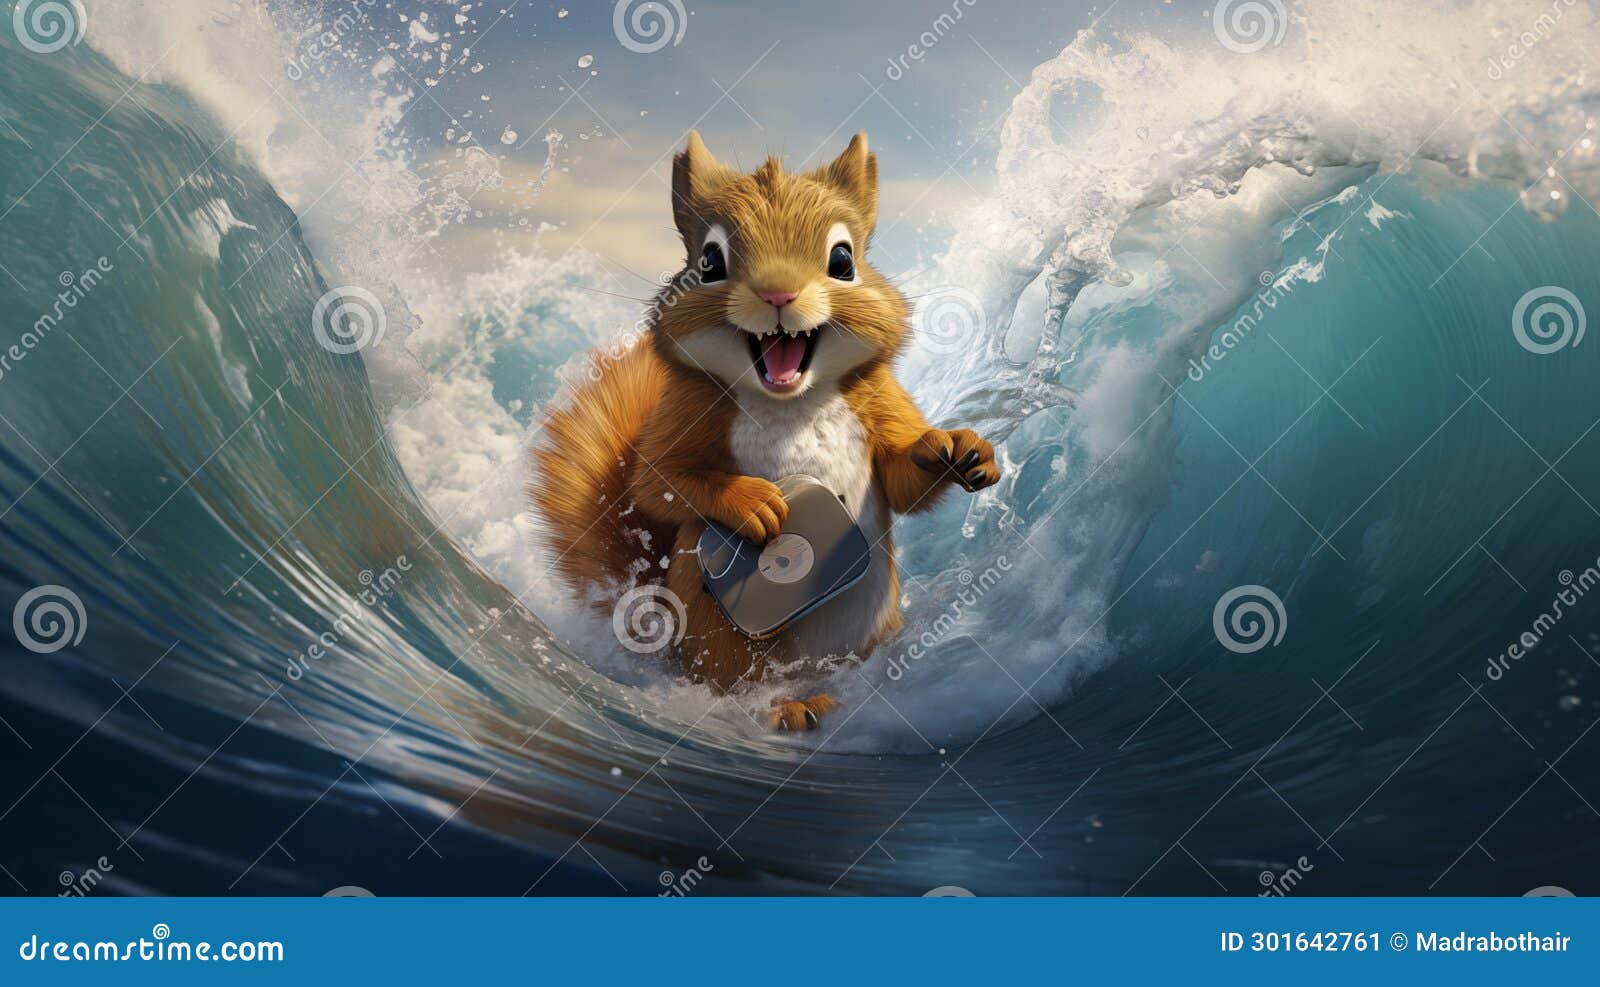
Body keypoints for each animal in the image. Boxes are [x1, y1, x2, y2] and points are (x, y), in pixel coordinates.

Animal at [530, 131, 999, 731]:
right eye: (709, 261)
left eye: (843, 260)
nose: (778, 295)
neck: (790, 402)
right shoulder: (690, 409)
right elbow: (658, 479)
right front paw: (751, 502)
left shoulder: (878, 399)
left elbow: (902, 482)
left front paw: (957, 449)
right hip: (721, 630)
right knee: (736, 685)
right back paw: (792, 707)